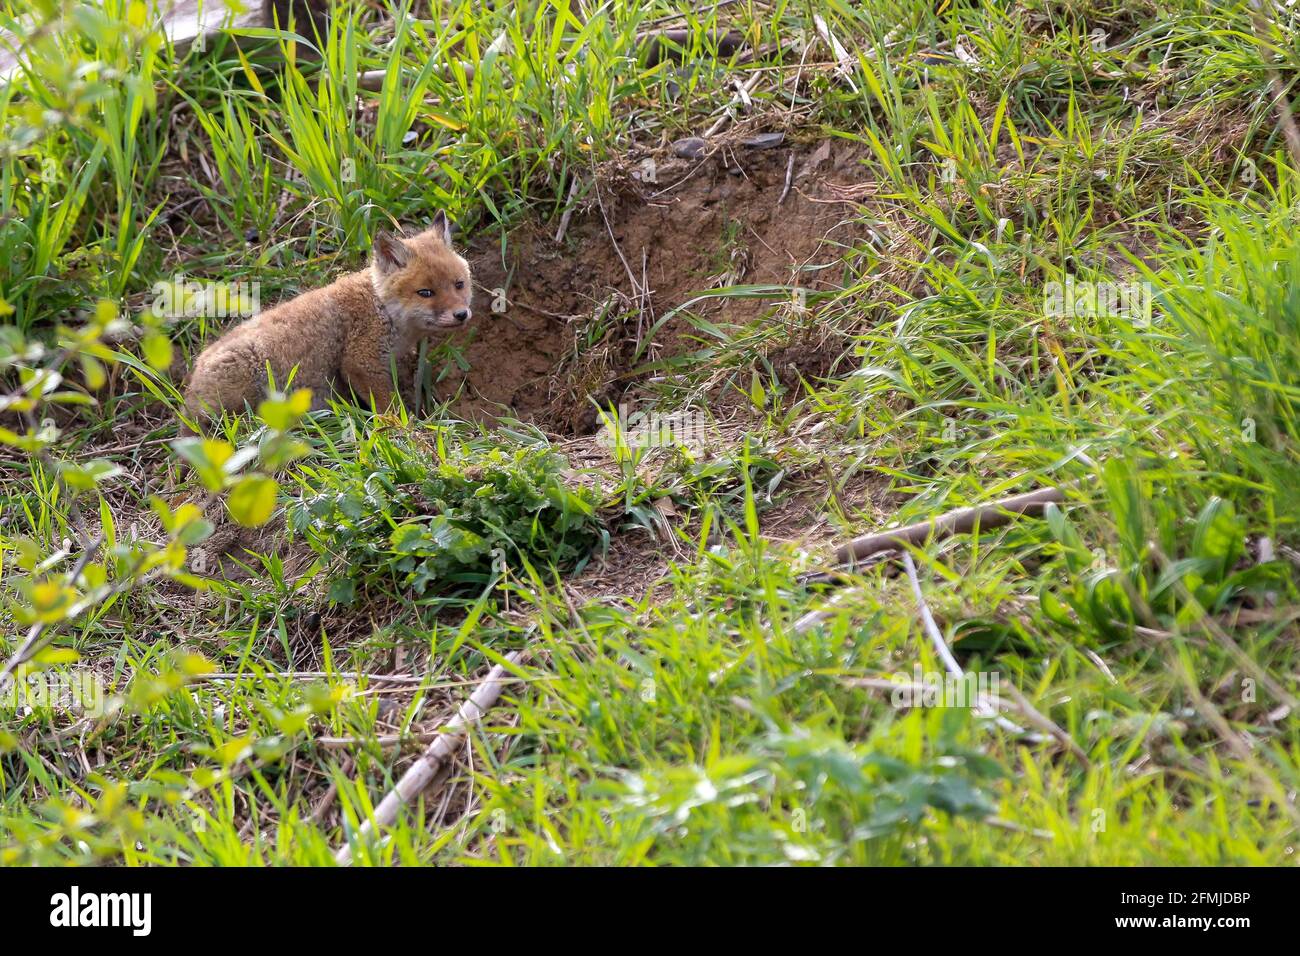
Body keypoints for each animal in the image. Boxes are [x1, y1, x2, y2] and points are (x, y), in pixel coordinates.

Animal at [183, 212, 472, 423]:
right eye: (426, 292)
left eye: (459, 285)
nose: (461, 314)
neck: (380, 308)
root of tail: (193, 378)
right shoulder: (360, 362)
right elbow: (388, 407)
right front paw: (403, 428)